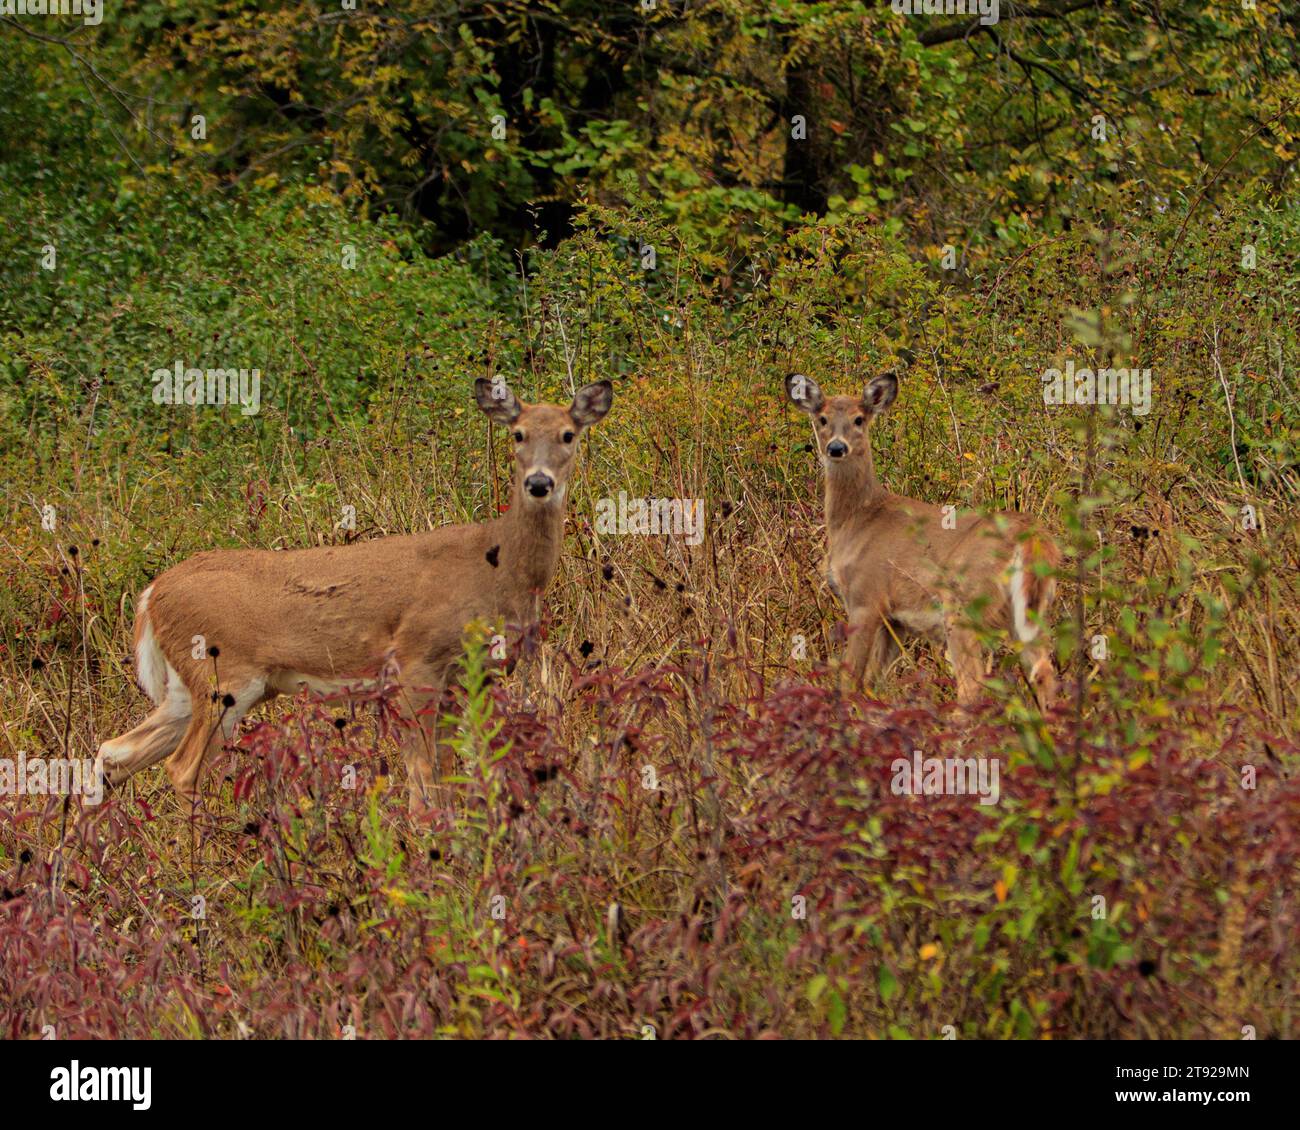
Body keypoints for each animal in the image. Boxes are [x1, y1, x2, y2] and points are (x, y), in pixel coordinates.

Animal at [93, 378, 613, 815]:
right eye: (518, 434)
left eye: (569, 434)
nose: (539, 483)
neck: (500, 566)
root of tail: (151, 594)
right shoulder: (414, 661)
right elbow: (424, 779)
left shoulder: (474, 675)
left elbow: (453, 768)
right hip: (225, 676)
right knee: (181, 769)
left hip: (188, 687)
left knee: (114, 752)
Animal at [785, 371, 1059, 712]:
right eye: (822, 418)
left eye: (859, 419)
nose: (836, 447)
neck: (856, 520)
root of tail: (1032, 538)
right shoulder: (895, 621)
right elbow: (873, 682)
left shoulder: (866, 598)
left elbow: (851, 681)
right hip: (1031, 610)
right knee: (1044, 672)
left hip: (964, 605)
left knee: (972, 686)